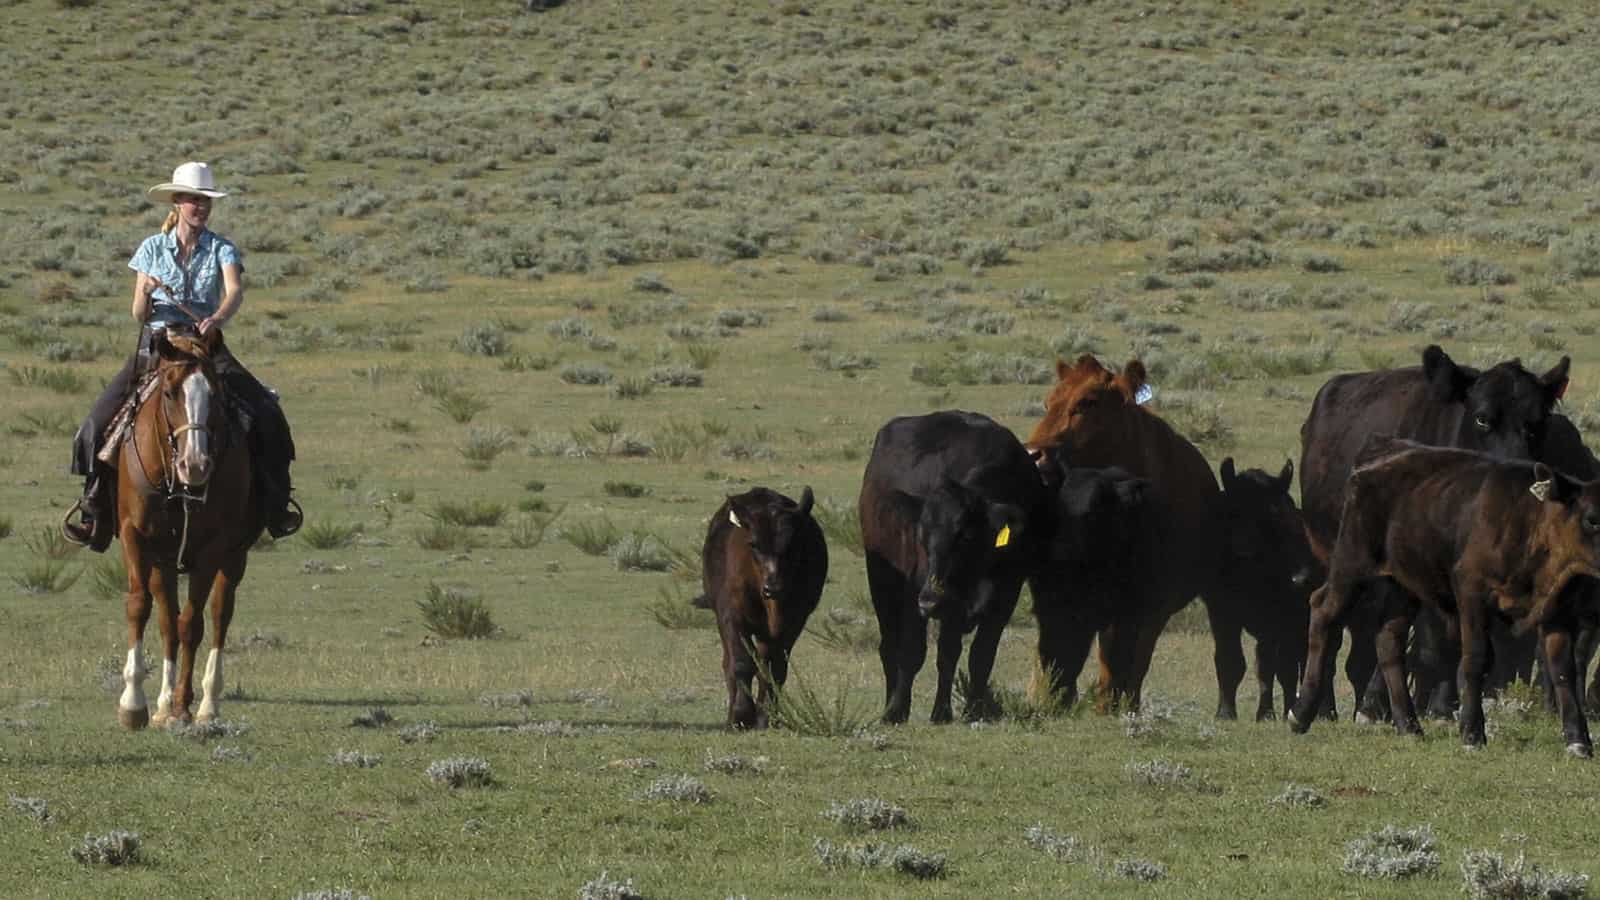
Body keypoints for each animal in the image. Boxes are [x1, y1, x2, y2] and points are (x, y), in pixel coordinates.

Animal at [702, 486, 828, 730]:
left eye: (793, 544)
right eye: (753, 544)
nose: (774, 587)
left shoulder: (794, 622)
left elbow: (774, 668)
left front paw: (765, 717)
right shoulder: (731, 617)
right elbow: (741, 663)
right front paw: (741, 715)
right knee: (729, 663)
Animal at [859, 410, 1043, 724]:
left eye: (965, 536)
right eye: (921, 537)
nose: (930, 601)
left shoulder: (1006, 592)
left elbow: (977, 654)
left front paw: (968, 710)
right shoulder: (916, 590)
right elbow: (913, 652)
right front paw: (897, 710)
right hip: (883, 581)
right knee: (889, 646)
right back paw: (890, 704)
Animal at [1025, 354, 1226, 713]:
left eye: (1087, 403)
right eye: (1048, 402)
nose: (1033, 453)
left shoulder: (1147, 605)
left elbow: (1120, 661)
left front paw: (1108, 707)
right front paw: (1052, 698)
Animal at [1289, 437, 1600, 757]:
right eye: (1592, 520)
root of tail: (1384, 449)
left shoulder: (1556, 610)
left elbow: (1563, 670)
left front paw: (1578, 739)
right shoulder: (1472, 594)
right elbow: (1476, 659)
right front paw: (1472, 732)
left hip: (1403, 585)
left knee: (1389, 641)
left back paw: (1409, 725)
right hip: (1352, 564)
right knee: (1323, 611)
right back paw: (1301, 713)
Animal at [1298, 345, 1570, 718]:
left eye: (1538, 423)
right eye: (1482, 418)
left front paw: (1446, 704)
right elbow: (1434, 642)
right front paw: (1439, 708)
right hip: (1335, 555)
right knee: (1334, 620)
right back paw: (1326, 707)